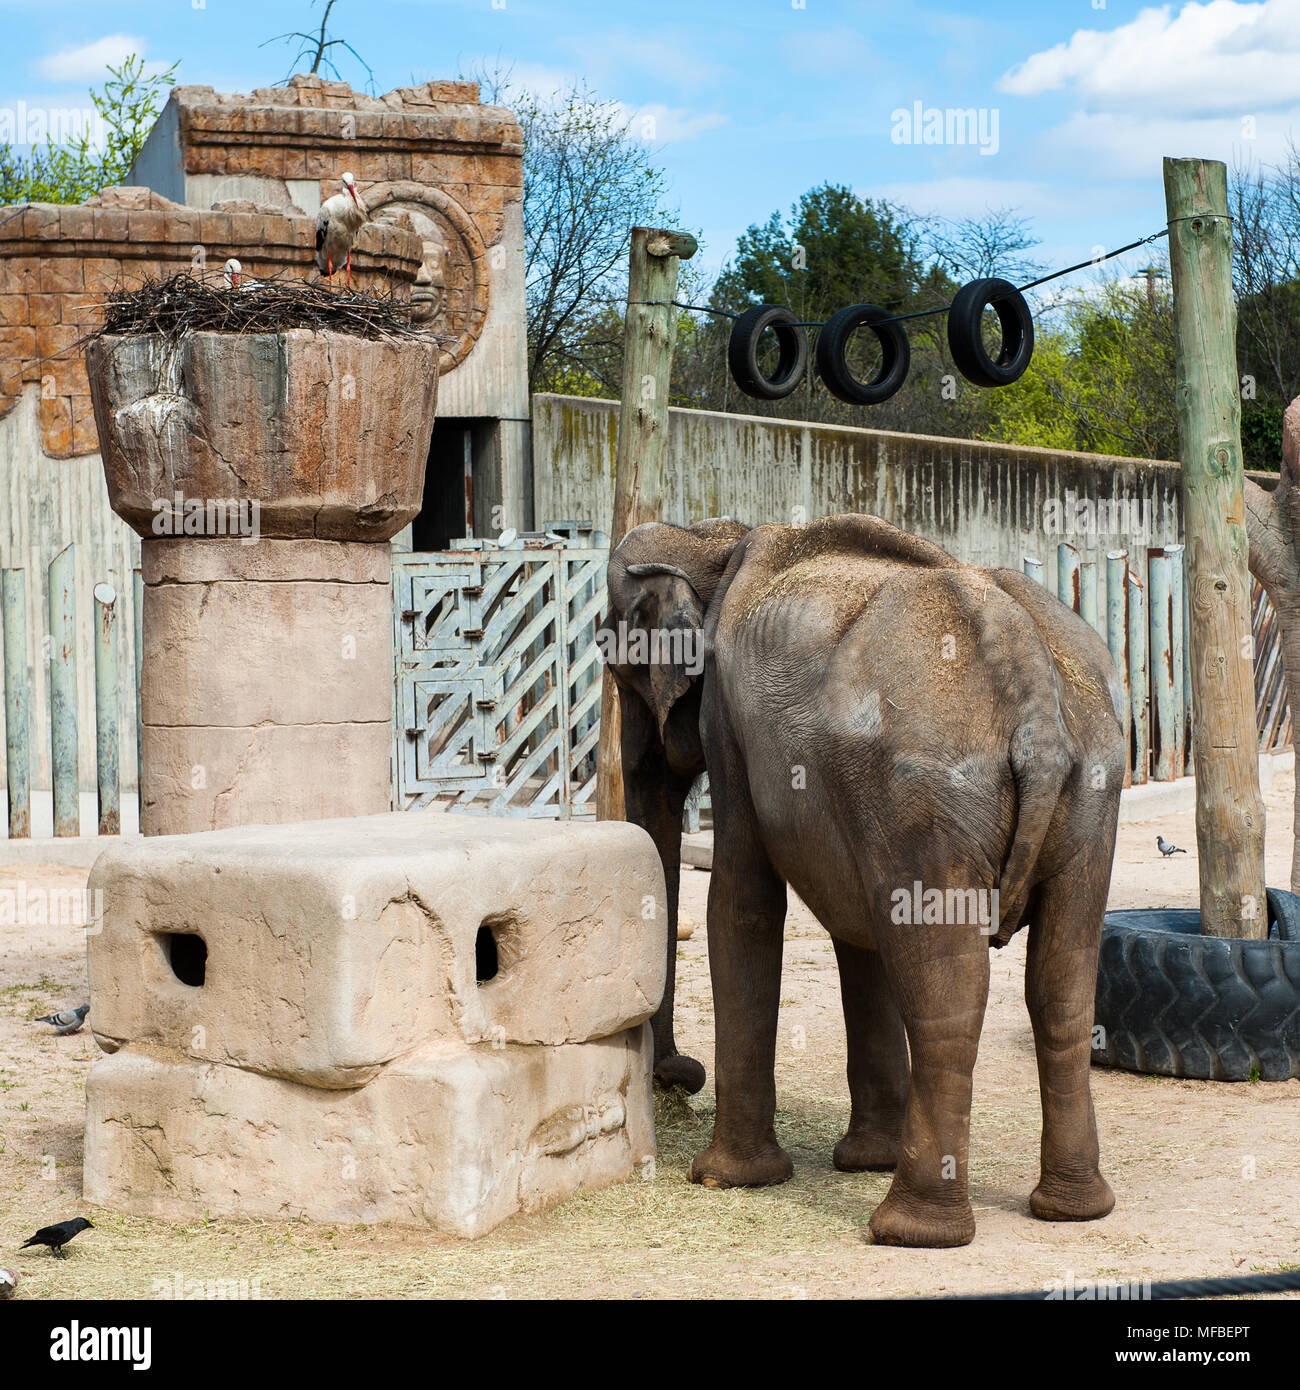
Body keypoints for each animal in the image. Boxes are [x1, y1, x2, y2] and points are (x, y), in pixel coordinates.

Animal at [598, 513, 1126, 1247]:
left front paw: (723, 1178)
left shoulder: (729, 727)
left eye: (617, 669)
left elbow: (742, 902)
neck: (713, 540)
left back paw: (911, 1229)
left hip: (931, 797)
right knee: (1062, 984)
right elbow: (861, 928)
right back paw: (1072, 1207)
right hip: (1089, 796)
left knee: (950, 992)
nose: (679, 1075)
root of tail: (1037, 705)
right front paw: (864, 1159)